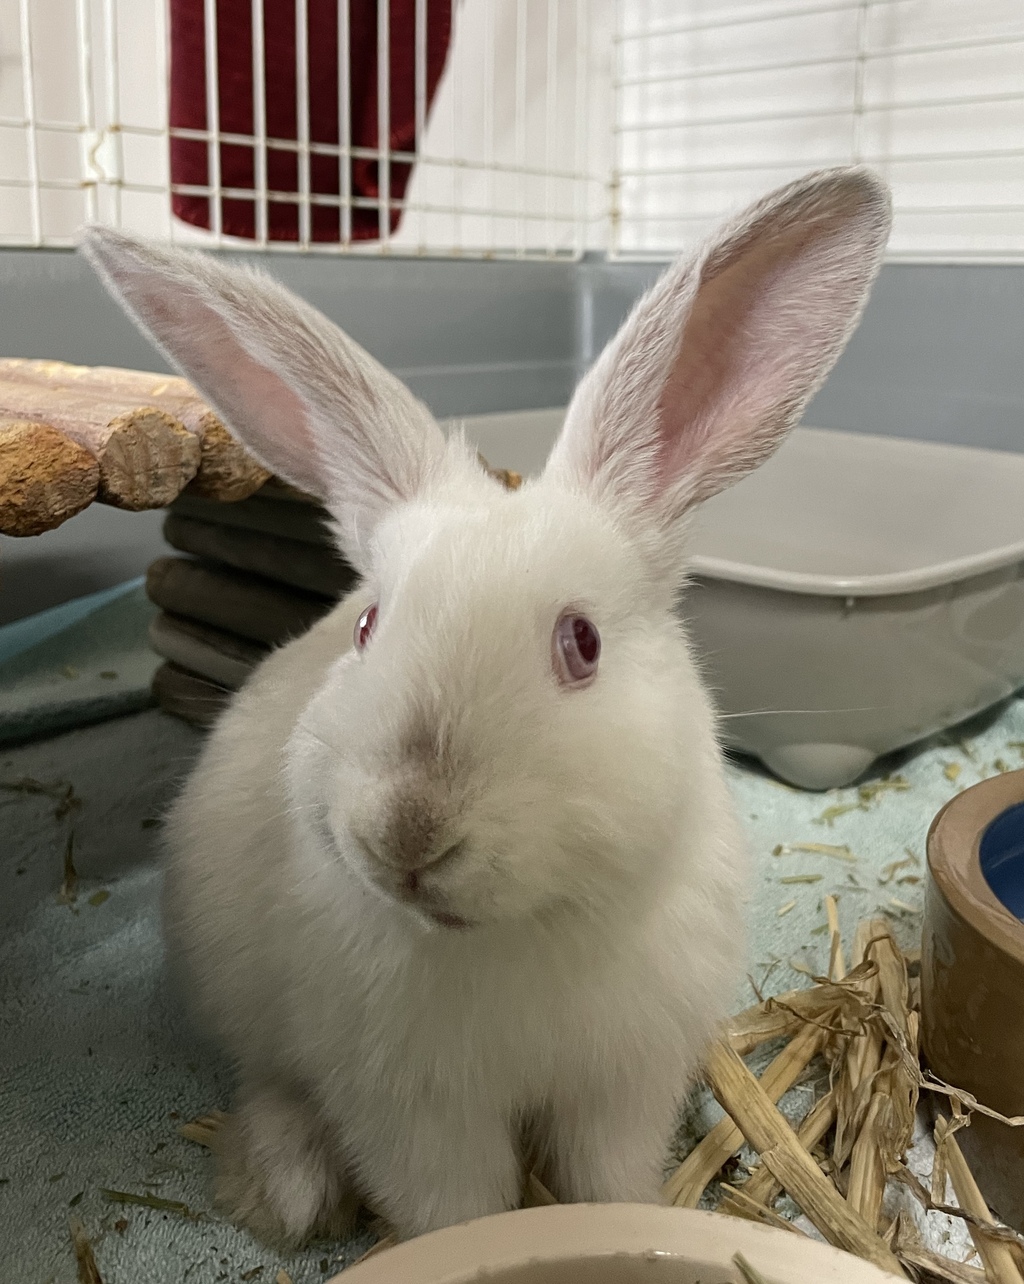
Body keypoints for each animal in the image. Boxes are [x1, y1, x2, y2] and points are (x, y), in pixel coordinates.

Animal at [82, 166, 890, 1245]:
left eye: (582, 644)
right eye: (368, 624)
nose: (407, 833)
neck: (514, 934)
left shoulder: (622, 1083)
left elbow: (605, 1175)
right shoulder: (407, 1105)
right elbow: (451, 1207)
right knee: (269, 1082)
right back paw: (287, 1189)